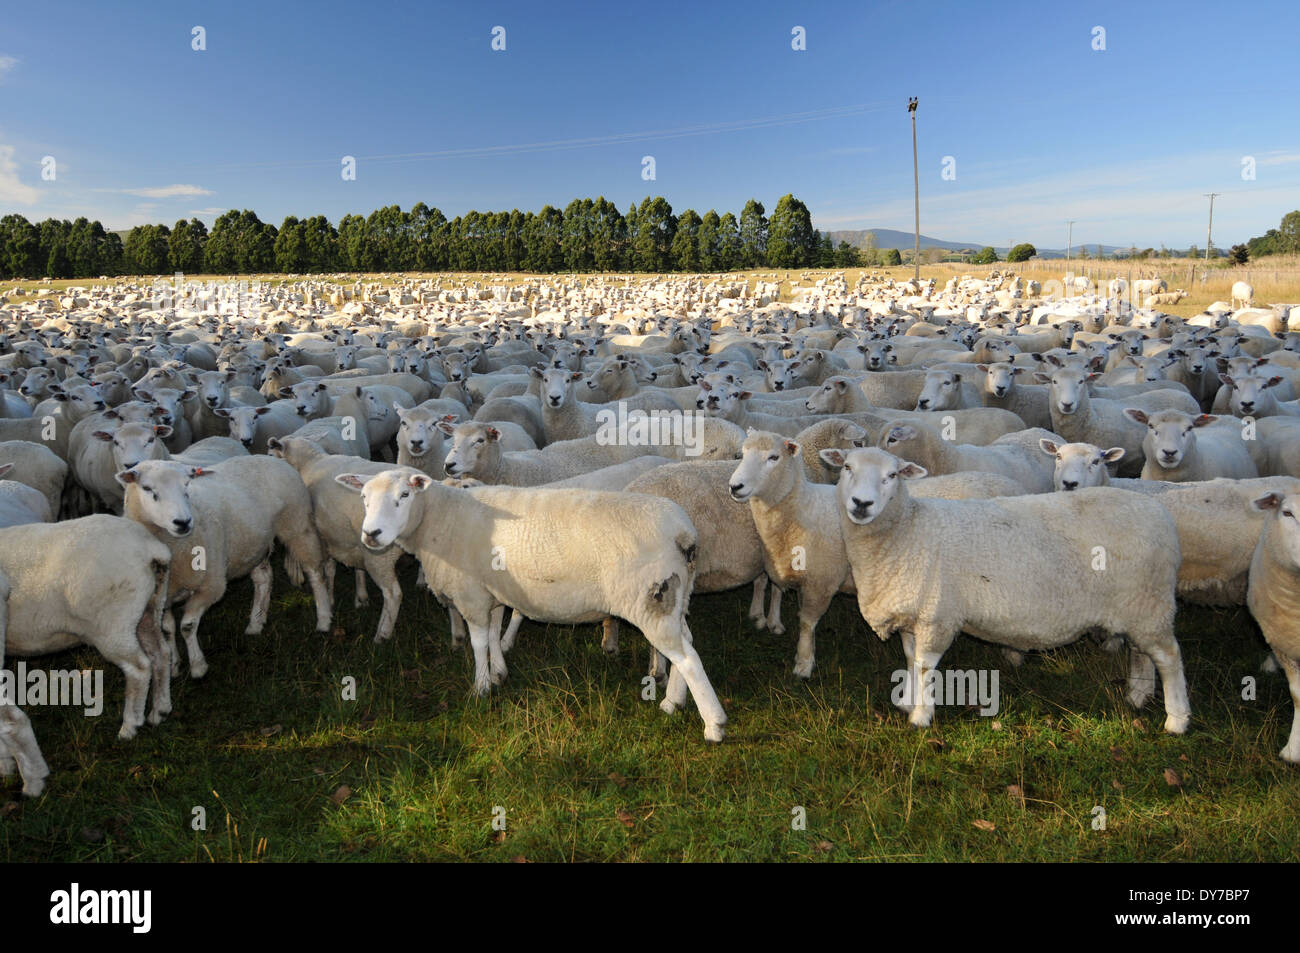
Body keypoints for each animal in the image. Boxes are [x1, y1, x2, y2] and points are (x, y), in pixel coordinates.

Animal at [0, 515, 172, 744]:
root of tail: (149, 547)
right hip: (149, 610)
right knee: (161, 653)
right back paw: (160, 710)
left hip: (113, 625)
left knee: (139, 668)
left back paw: (129, 727)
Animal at [118, 456, 334, 678]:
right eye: (147, 488)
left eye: (187, 485)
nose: (183, 522)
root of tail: (271, 458)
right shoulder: (164, 594)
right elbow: (168, 630)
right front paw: (174, 666)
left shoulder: (211, 586)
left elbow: (187, 626)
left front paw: (198, 667)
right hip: (253, 544)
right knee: (264, 579)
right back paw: (256, 623)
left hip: (298, 525)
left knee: (315, 573)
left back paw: (324, 619)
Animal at [335, 470, 728, 741]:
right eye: (364, 498)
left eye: (404, 494)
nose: (371, 535)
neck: (439, 517)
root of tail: (685, 533)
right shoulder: (492, 591)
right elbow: (495, 633)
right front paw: (499, 673)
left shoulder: (471, 594)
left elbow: (478, 642)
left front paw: (480, 688)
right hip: (674, 595)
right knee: (687, 644)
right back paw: (672, 703)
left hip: (648, 598)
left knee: (687, 658)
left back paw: (713, 724)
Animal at [821, 447, 1190, 732]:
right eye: (847, 467)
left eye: (892, 475)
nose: (861, 503)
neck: (908, 529)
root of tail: (1162, 516)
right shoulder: (915, 614)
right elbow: (911, 660)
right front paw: (907, 702)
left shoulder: (937, 616)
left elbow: (925, 666)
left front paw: (921, 717)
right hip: (1139, 607)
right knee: (1142, 652)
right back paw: (1138, 696)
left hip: (1150, 603)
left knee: (1170, 657)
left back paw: (1177, 720)